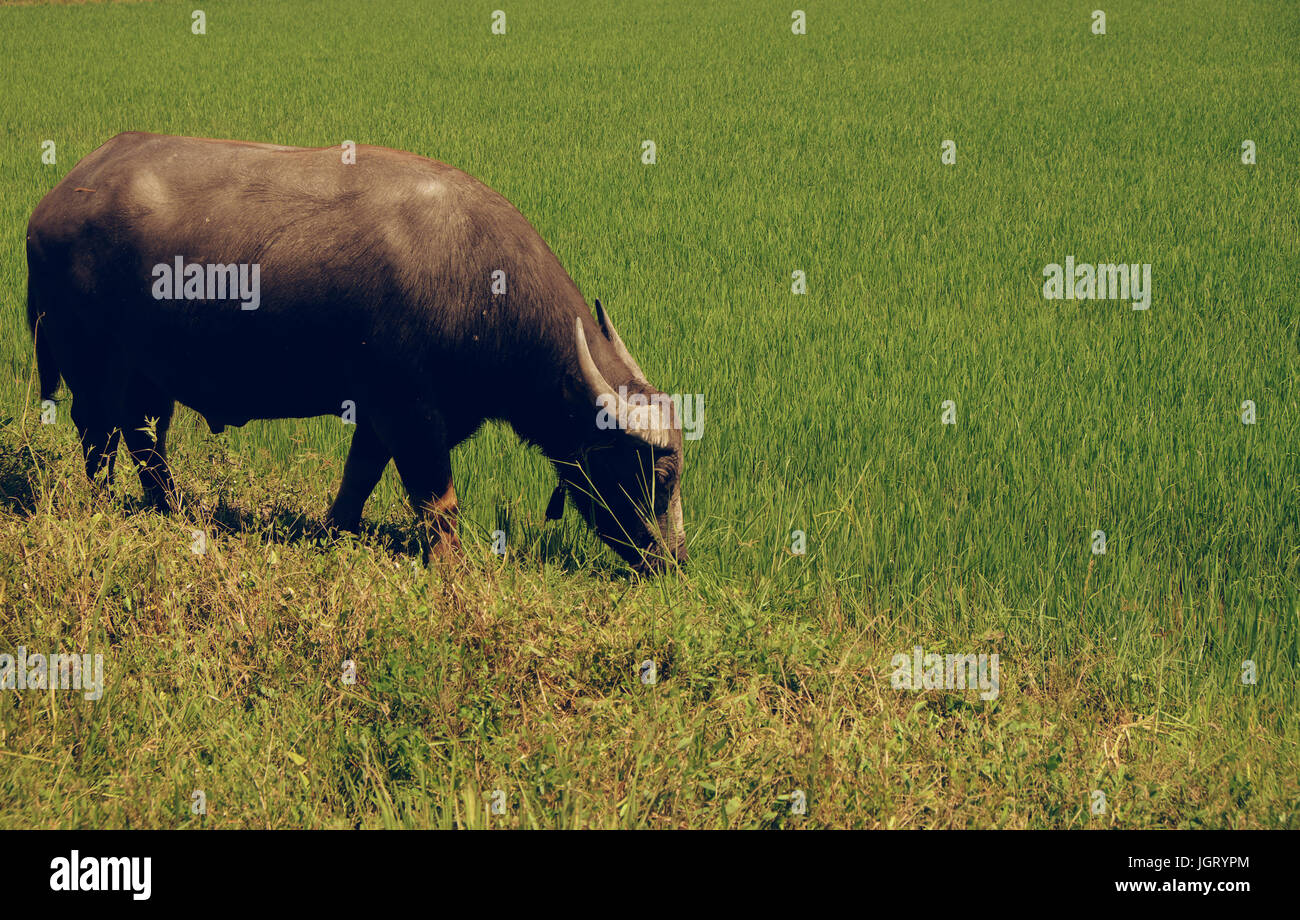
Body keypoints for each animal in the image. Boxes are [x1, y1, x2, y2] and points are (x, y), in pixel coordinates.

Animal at [26, 132, 686, 573]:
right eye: (654, 474)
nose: (673, 561)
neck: (478, 280)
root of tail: (52, 204)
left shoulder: (378, 414)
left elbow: (358, 479)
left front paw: (333, 534)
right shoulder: (409, 410)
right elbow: (438, 501)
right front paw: (454, 571)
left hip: (148, 376)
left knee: (144, 436)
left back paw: (169, 509)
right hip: (89, 366)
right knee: (100, 437)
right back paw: (105, 505)